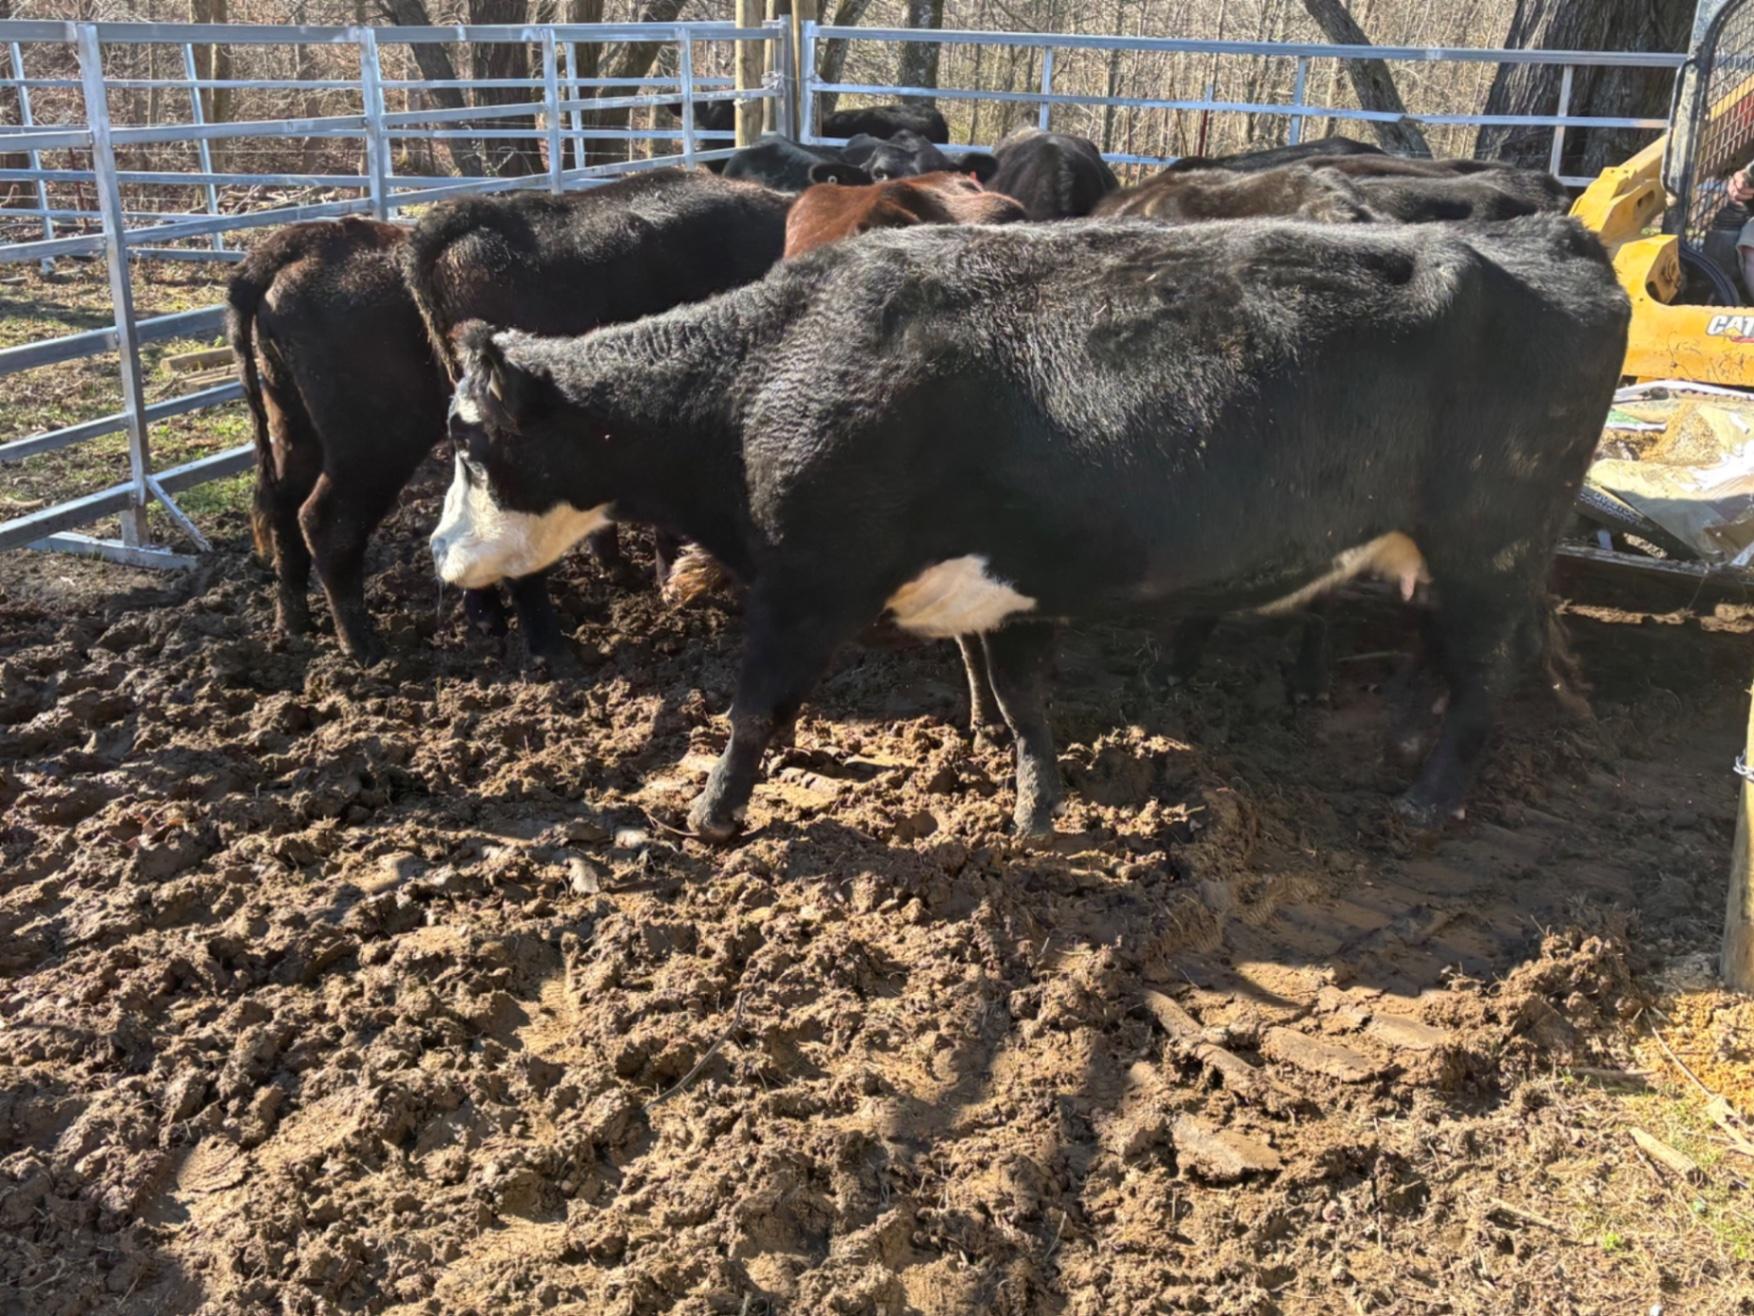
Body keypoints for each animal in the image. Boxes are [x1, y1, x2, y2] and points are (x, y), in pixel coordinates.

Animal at [227, 218, 458, 665]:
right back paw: (364, 646)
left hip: (293, 424)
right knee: (327, 521)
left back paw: (294, 624)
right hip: (377, 444)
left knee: (285, 508)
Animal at [428, 216, 1629, 841]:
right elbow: (1018, 702)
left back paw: (1431, 794)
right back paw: (1399, 737)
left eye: (466, 438)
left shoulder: (808, 577)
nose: (441, 554)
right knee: (1441, 646)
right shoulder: (1001, 583)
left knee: (1485, 666)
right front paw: (1033, 805)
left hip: (1493, 544)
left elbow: (755, 701)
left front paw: (714, 815)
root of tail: (1549, 233)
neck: (764, 365)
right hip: (1451, 553)